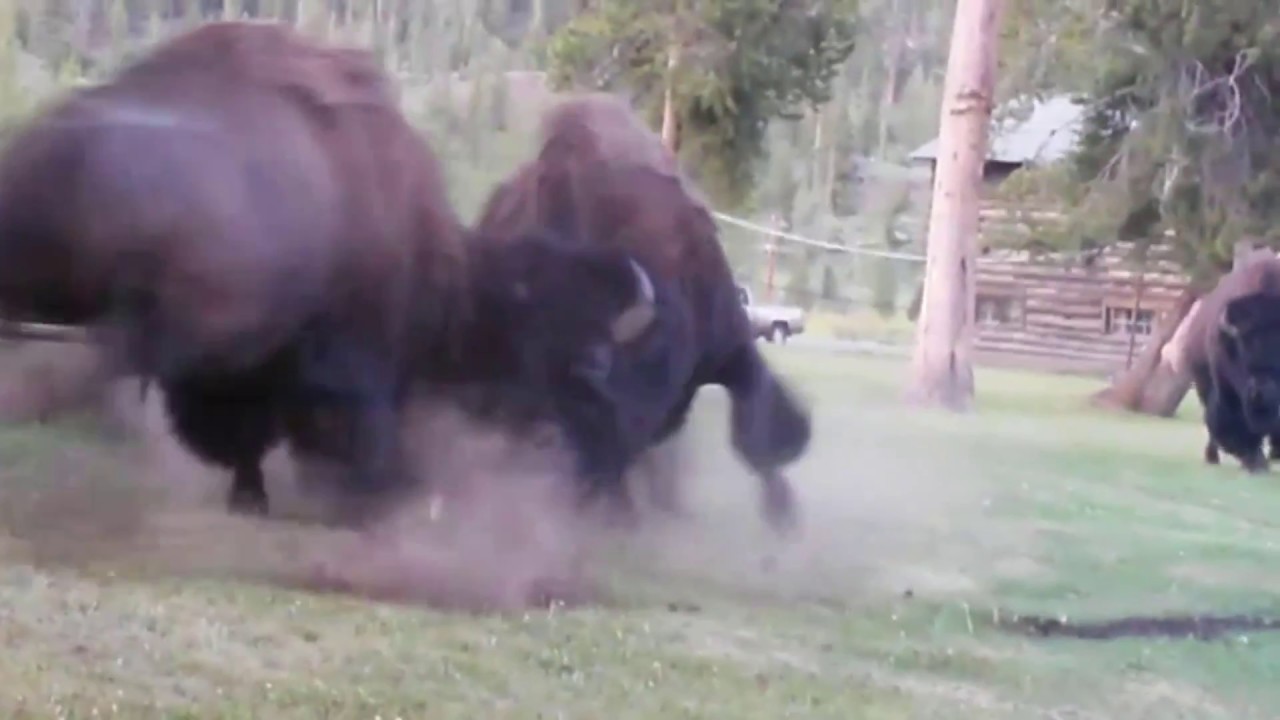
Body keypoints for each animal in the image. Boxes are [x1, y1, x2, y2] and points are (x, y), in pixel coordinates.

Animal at [471, 93, 813, 535]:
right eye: (574, 397)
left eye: (591, 389)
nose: (580, 489)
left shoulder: (730, 343)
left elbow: (754, 430)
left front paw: (784, 514)